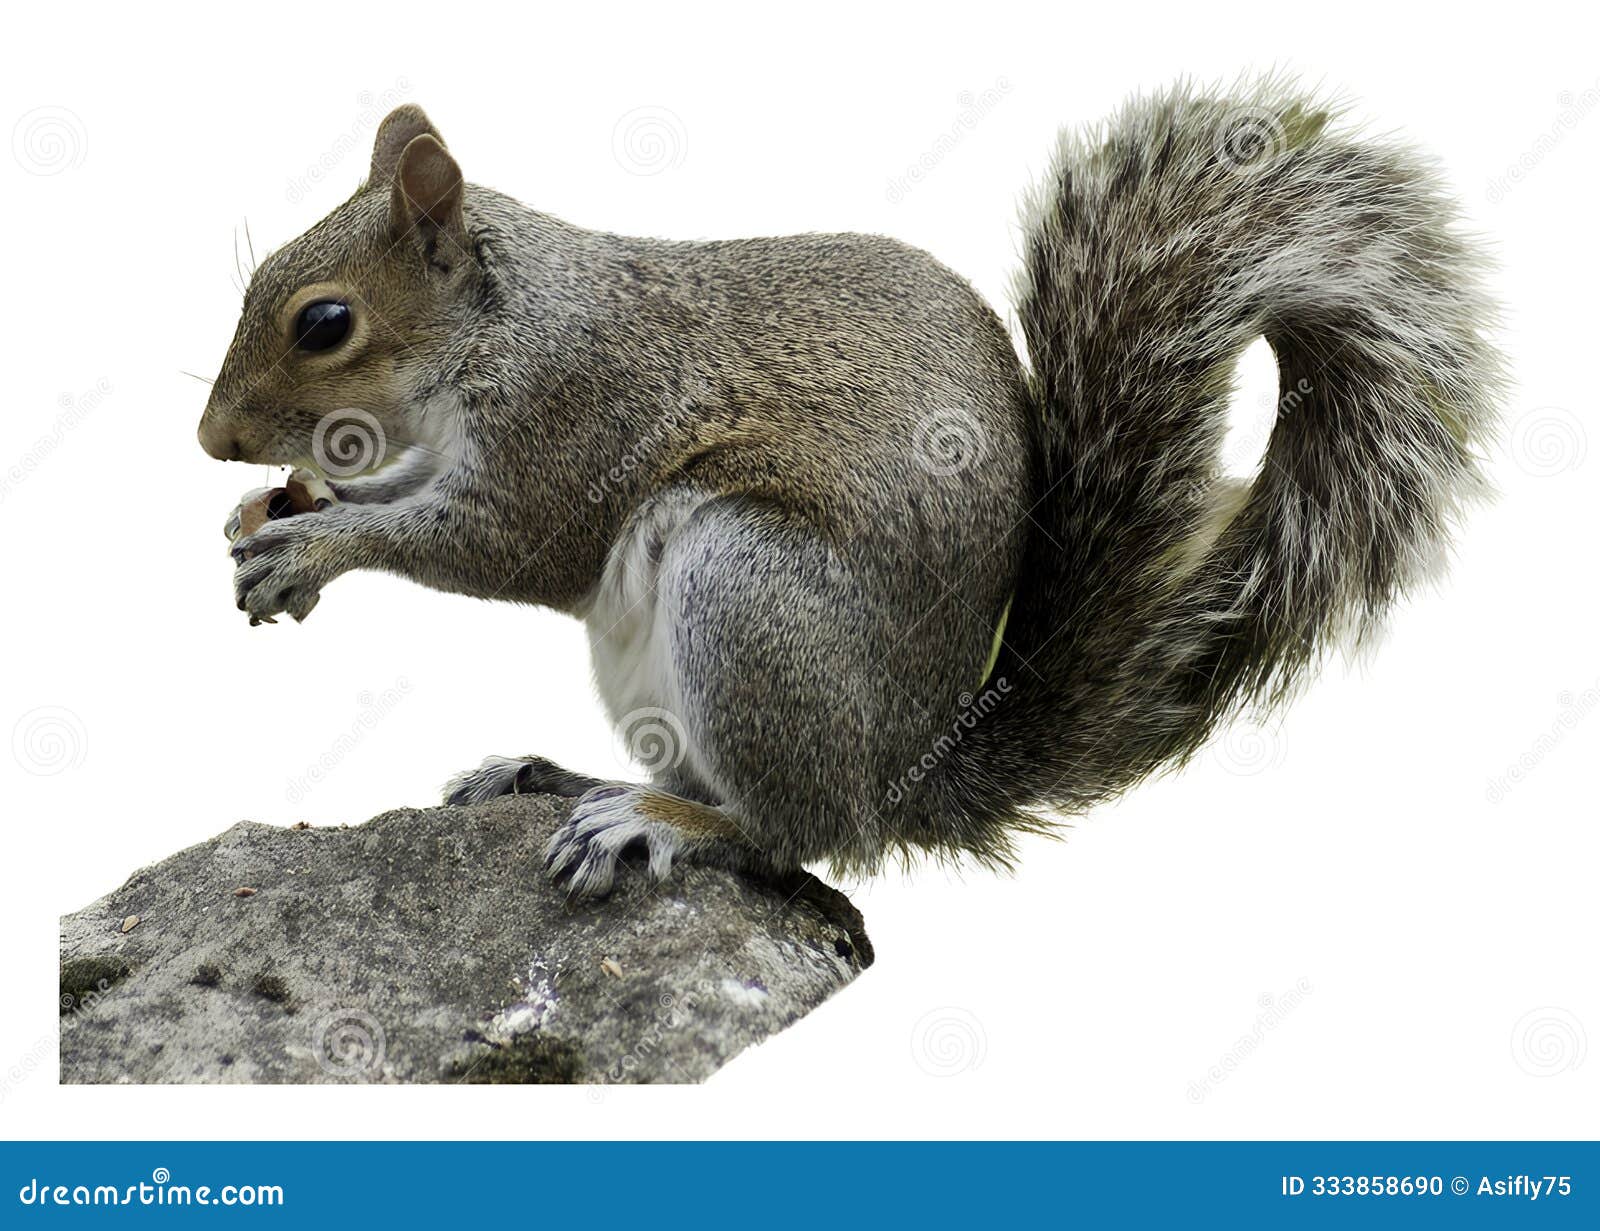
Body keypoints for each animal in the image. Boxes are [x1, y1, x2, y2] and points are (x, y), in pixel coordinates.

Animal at [198, 82, 1500, 899]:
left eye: (325, 322)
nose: (213, 440)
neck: (501, 323)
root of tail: (900, 777)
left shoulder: (577, 416)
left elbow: (497, 542)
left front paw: (317, 546)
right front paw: (283, 506)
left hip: (751, 595)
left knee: (793, 837)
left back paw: (662, 821)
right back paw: (566, 776)